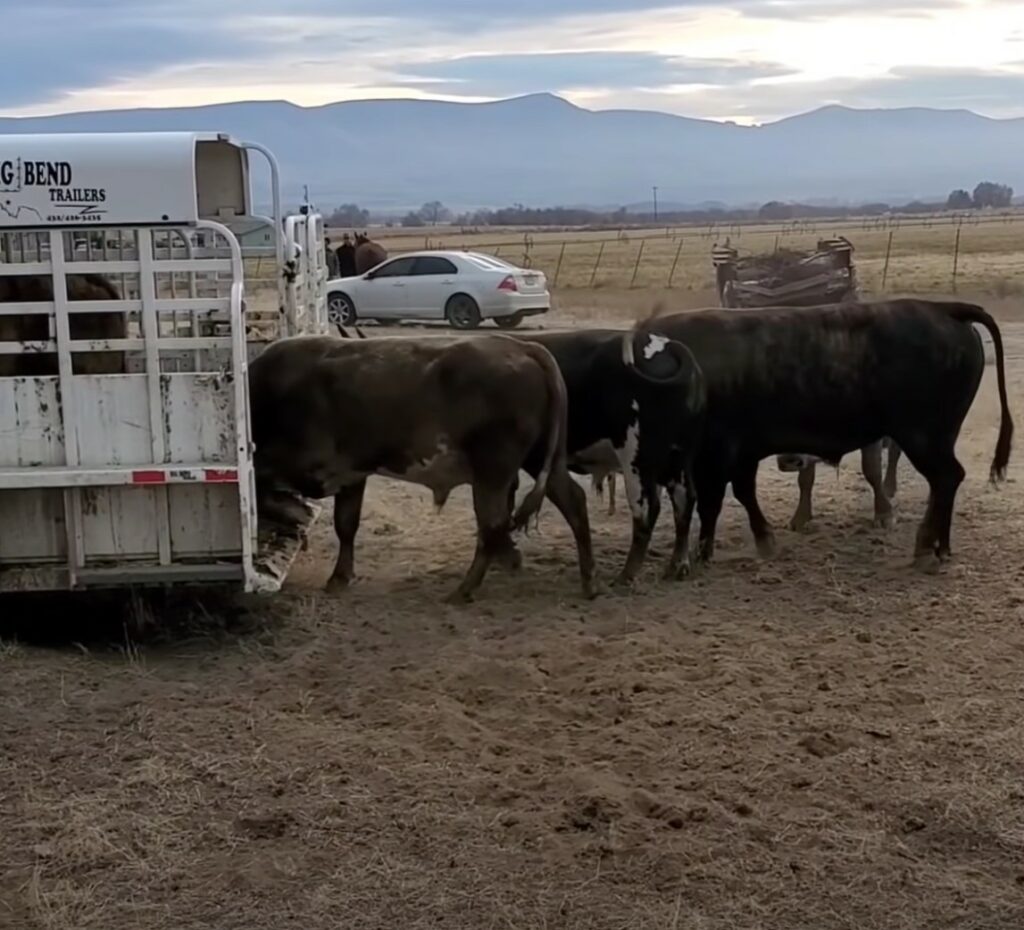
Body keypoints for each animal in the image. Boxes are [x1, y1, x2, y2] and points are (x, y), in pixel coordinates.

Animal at [248, 332, 596, 603]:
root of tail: (523, 347)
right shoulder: (352, 474)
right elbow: (346, 525)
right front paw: (339, 576)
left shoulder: (302, 461)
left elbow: (260, 485)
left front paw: (293, 515)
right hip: (538, 459)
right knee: (571, 500)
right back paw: (587, 578)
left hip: (493, 472)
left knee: (492, 522)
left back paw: (466, 588)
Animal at [511, 327, 706, 585]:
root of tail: (664, 345)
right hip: (677, 459)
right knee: (685, 500)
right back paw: (678, 565)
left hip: (636, 459)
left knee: (646, 510)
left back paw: (627, 574)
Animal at [634, 299, 1012, 572]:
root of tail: (942, 308)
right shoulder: (739, 452)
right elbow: (739, 494)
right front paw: (759, 541)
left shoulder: (718, 452)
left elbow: (714, 501)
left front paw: (706, 551)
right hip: (935, 439)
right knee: (943, 482)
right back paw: (939, 547)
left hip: (922, 437)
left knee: (946, 478)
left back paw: (925, 547)